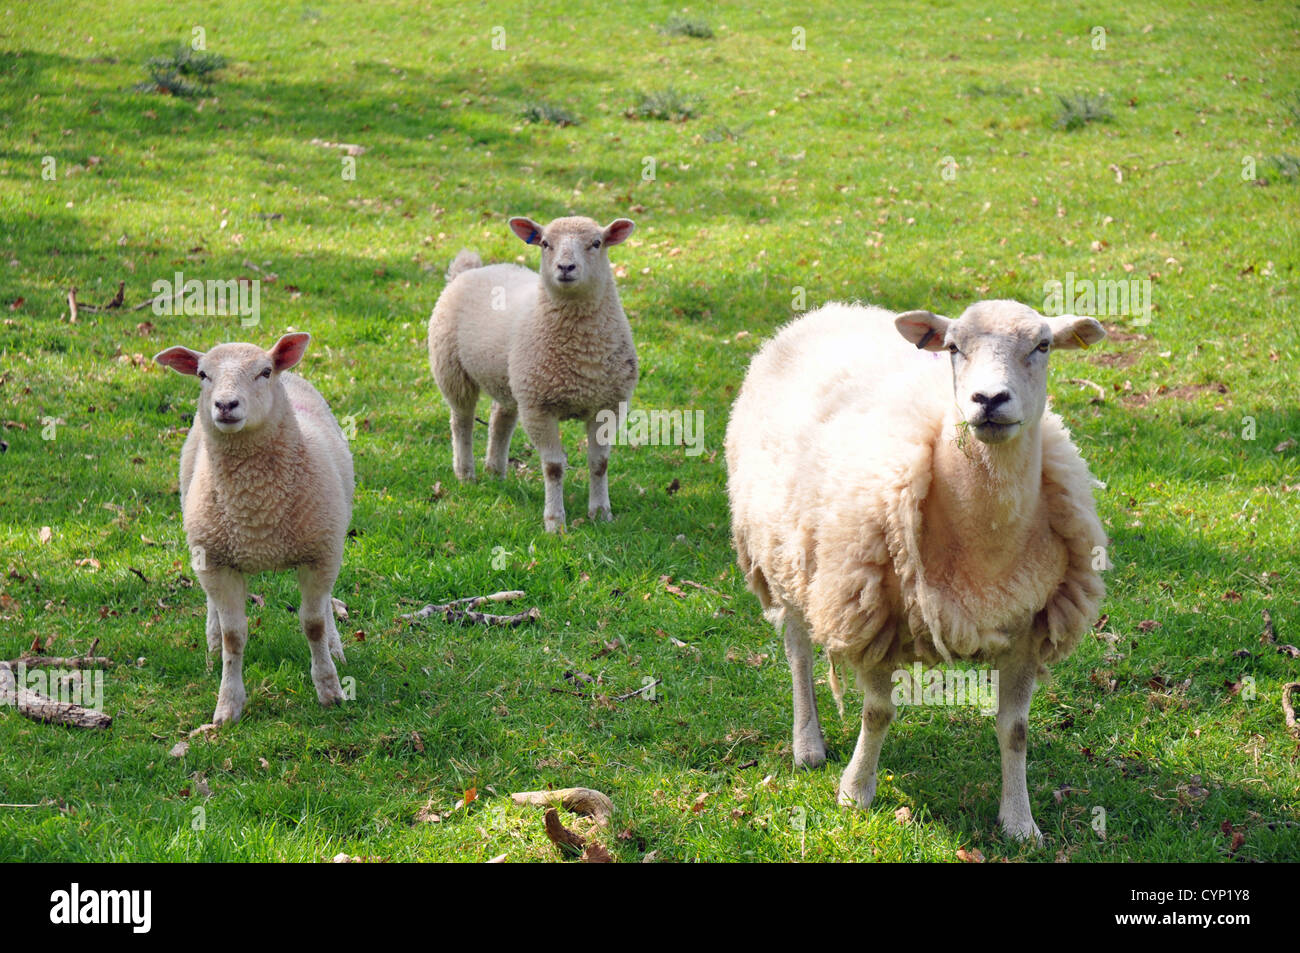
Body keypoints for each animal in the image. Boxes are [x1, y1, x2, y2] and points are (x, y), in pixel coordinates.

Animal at [154, 333, 354, 725]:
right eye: (202, 374)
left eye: (264, 372)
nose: (225, 405)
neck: (257, 512)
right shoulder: (217, 562)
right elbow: (234, 636)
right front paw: (227, 706)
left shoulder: (320, 553)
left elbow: (313, 624)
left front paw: (330, 690)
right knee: (214, 610)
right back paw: (211, 646)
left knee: (325, 605)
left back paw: (335, 647)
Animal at [427, 215, 638, 532]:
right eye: (545, 243)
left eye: (596, 243)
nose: (566, 267)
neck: (583, 351)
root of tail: (469, 269)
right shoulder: (540, 408)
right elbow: (553, 467)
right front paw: (555, 523)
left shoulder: (608, 406)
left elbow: (599, 463)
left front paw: (601, 513)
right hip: (452, 370)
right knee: (461, 422)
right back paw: (466, 474)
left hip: (512, 379)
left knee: (500, 419)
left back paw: (495, 472)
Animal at [724, 300, 1107, 841]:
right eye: (953, 347)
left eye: (1043, 345)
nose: (989, 399)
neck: (986, 543)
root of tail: (828, 310)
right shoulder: (874, 615)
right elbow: (878, 712)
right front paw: (856, 792)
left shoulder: (1029, 627)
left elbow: (1015, 730)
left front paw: (1019, 821)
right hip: (785, 554)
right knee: (798, 650)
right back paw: (808, 744)